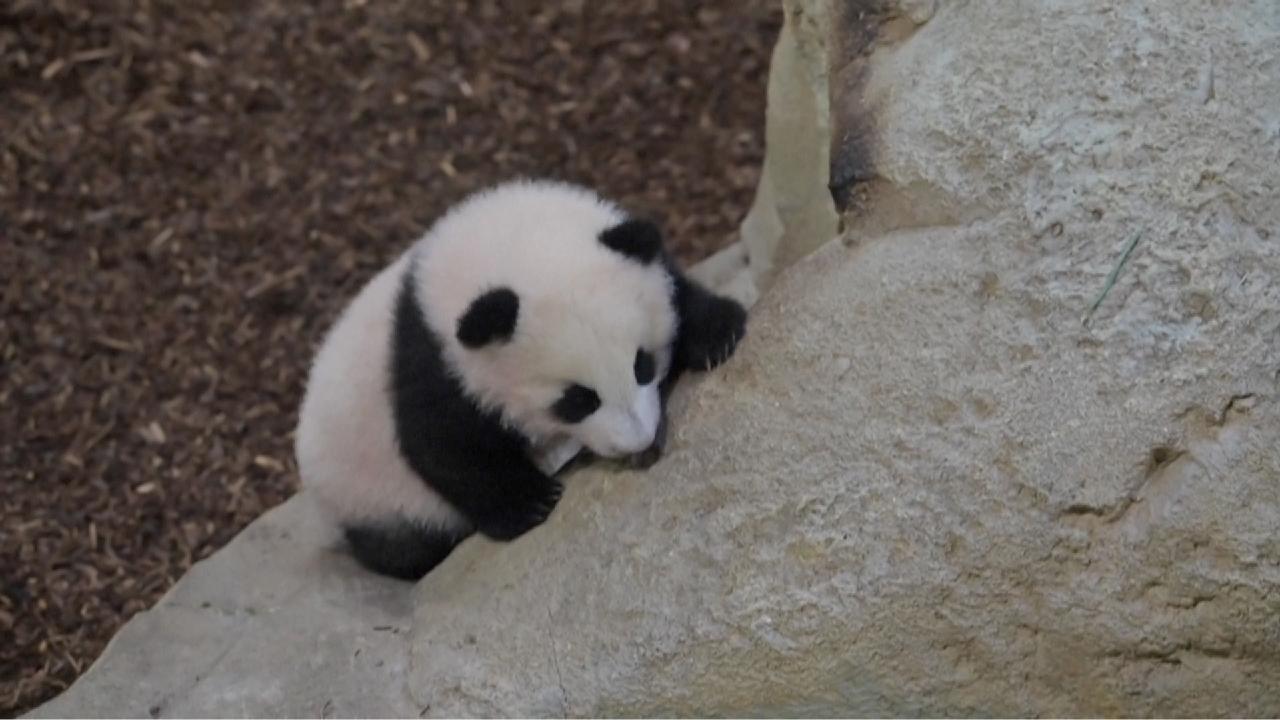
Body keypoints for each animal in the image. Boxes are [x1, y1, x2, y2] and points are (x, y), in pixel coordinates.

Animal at [295, 179, 747, 581]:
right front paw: (530, 503)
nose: (638, 442)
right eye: (577, 399)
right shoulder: (435, 360)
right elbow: (445, 445)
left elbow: (673, 287)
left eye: (643, 365)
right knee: (405, 545)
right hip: (372, 498)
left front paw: (718, 332)